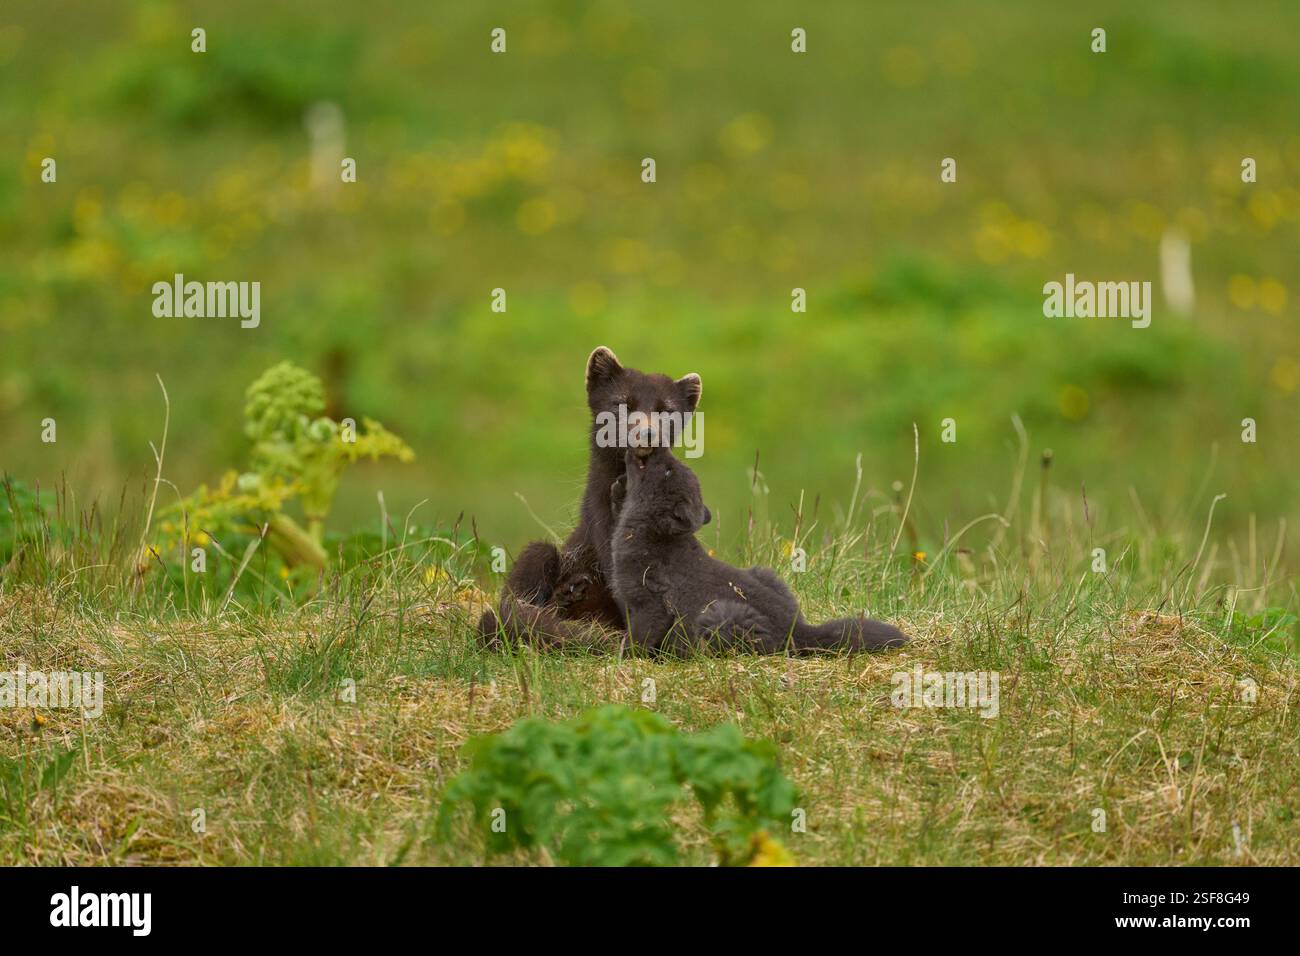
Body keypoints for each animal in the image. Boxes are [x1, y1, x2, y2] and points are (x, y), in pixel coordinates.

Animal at [610, 444, 908, 655]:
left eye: (669, 470)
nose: (658, 445)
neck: (650, 536)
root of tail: (799, 629)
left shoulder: (649, 604)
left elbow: (639, 639)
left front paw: (625, 660)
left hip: (719, 616)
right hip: (766, 573)